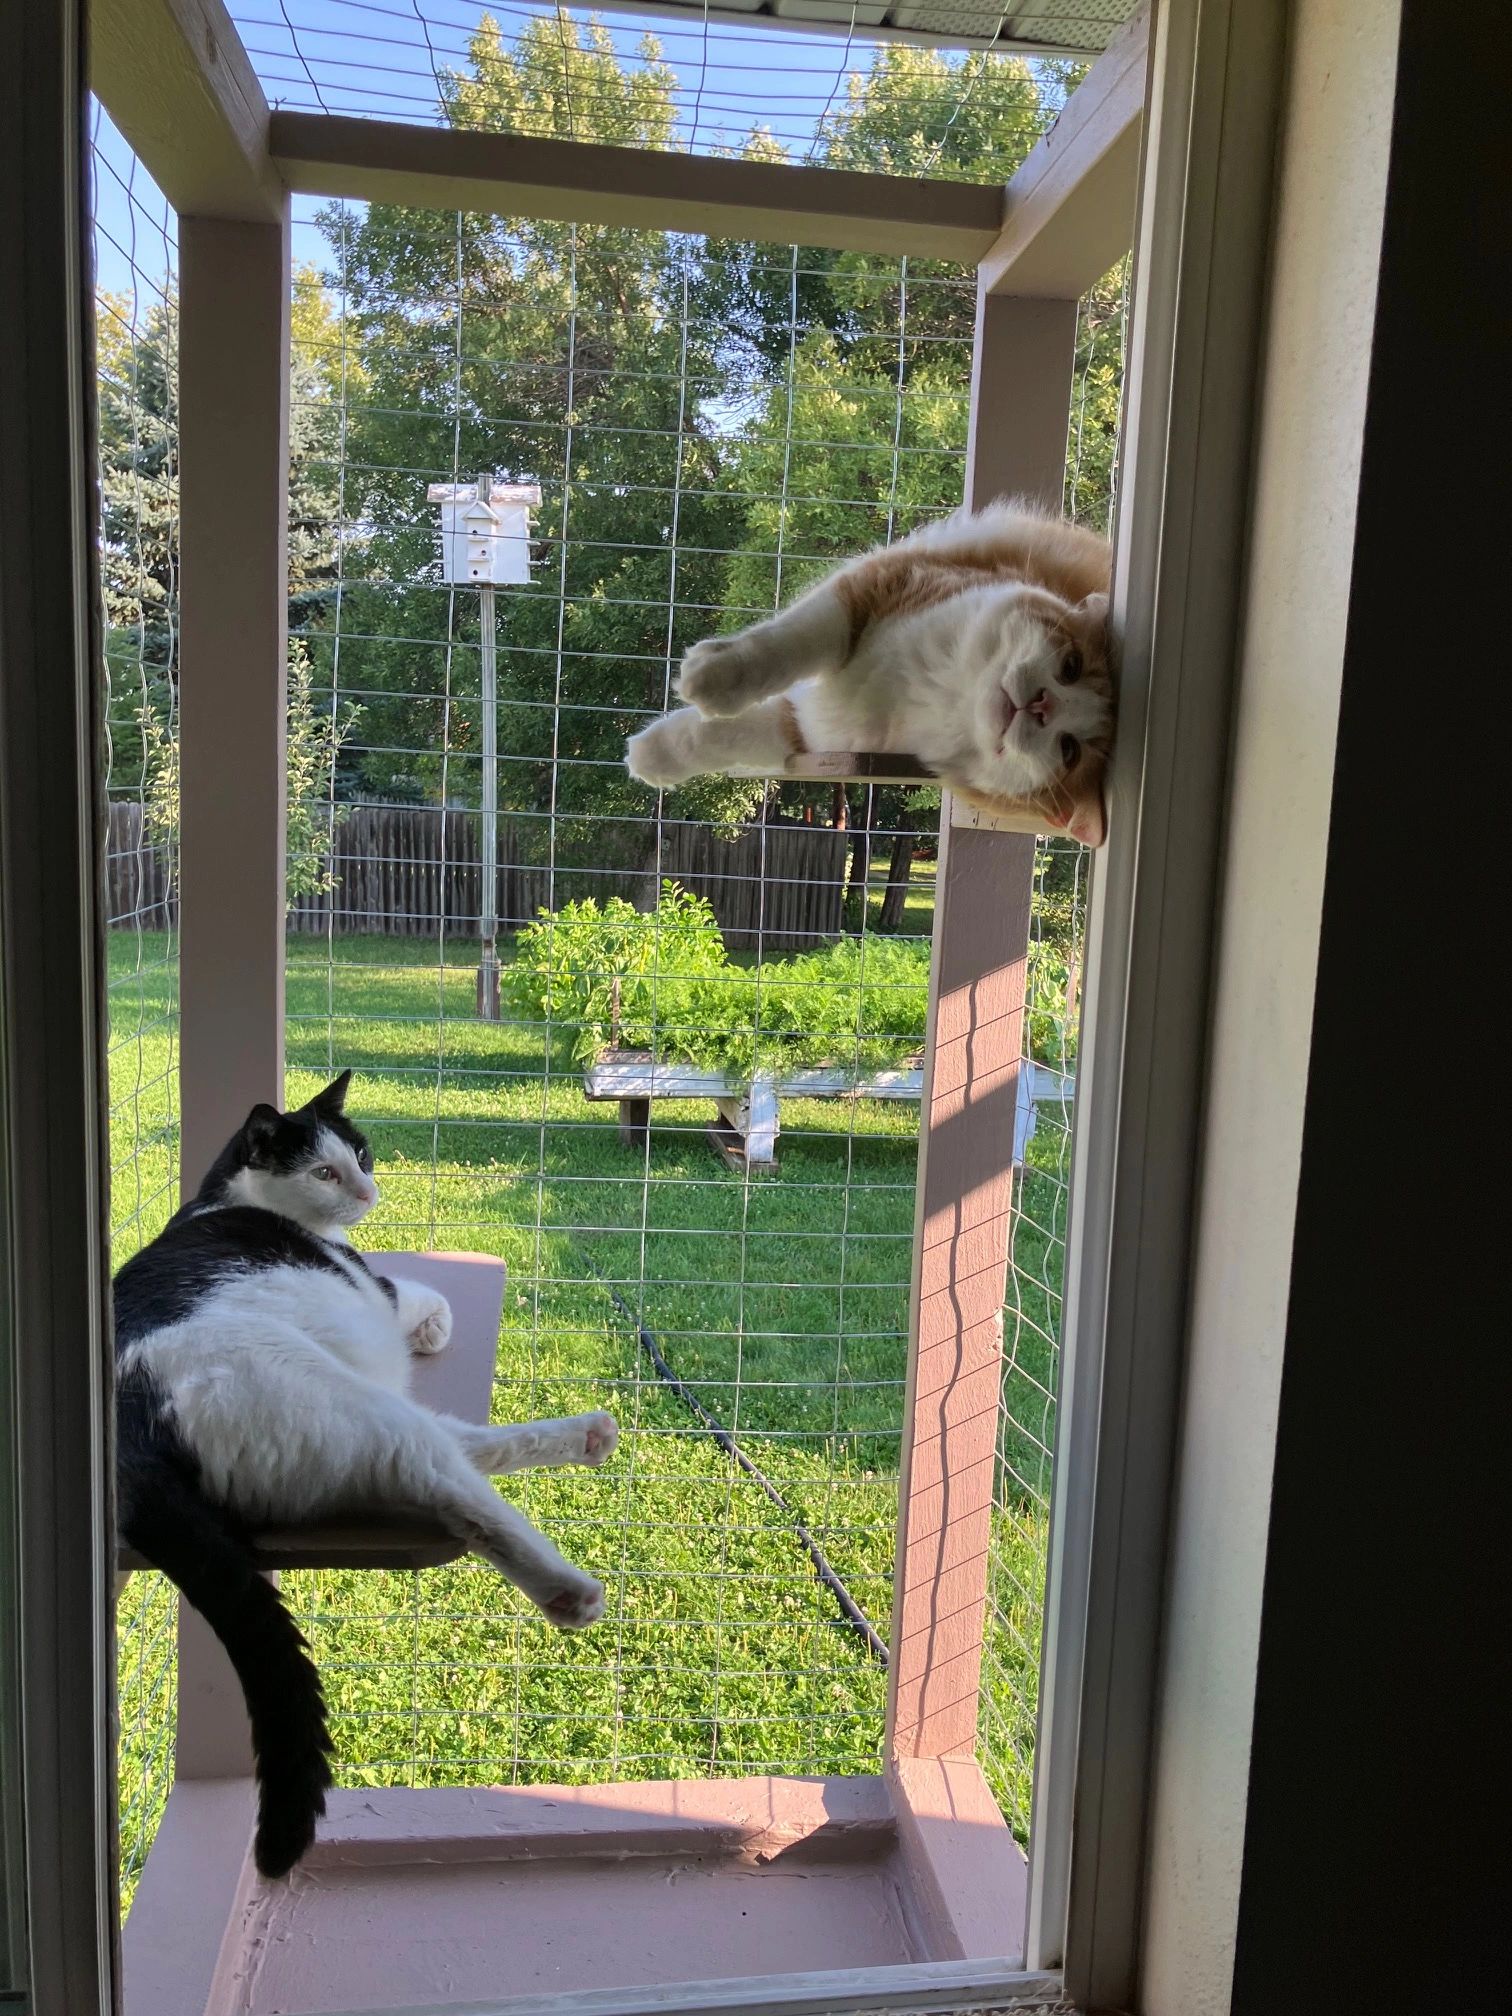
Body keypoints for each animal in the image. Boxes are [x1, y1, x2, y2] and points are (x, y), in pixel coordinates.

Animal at [115, 1080, 616, 1878]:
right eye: (325, 1172)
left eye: (361, 1154)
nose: (368, 1190)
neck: (230, 1195)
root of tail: (129, 1424)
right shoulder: (379, 1285)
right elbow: (422, 1295)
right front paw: (432, 1326)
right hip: (352, 1407)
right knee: (450, 1480)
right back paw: (567, 1590)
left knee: (464, 1448)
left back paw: (586, 1438)